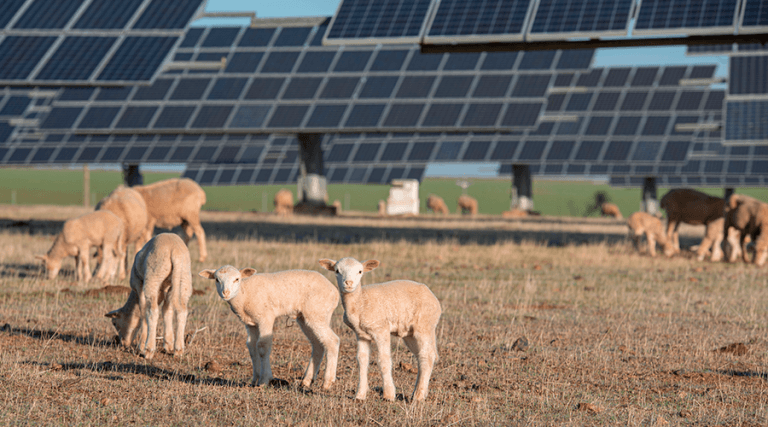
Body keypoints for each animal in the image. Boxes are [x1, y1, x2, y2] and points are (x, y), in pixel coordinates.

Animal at [198, 266, 340, 389]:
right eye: (217, 279)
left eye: (237, 279)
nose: (225, 293)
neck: (244, 293)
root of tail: (335, 291)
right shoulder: (250, 323)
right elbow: (252, 347)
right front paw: (254, 380)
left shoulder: (265, 317)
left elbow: (262, 346)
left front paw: (264, 380)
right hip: (307, 316)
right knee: (318, 344)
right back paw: (306, 381)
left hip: (317, 312)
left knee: (332, 340)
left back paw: (327, 382)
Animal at [318, 257, 441, 402]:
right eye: (337, 271)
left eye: (360, 271)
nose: (348, 283)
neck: (360, 301)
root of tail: (433, 297)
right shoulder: (361, 334)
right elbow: (362, 360)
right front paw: (360, 395)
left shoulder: (381, 329)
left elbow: (384, 360)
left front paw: (388, 394)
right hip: (410, 334)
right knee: (421, 357)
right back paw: (418, 392)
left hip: (424, 325)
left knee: (427, 356)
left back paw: (418, 396)